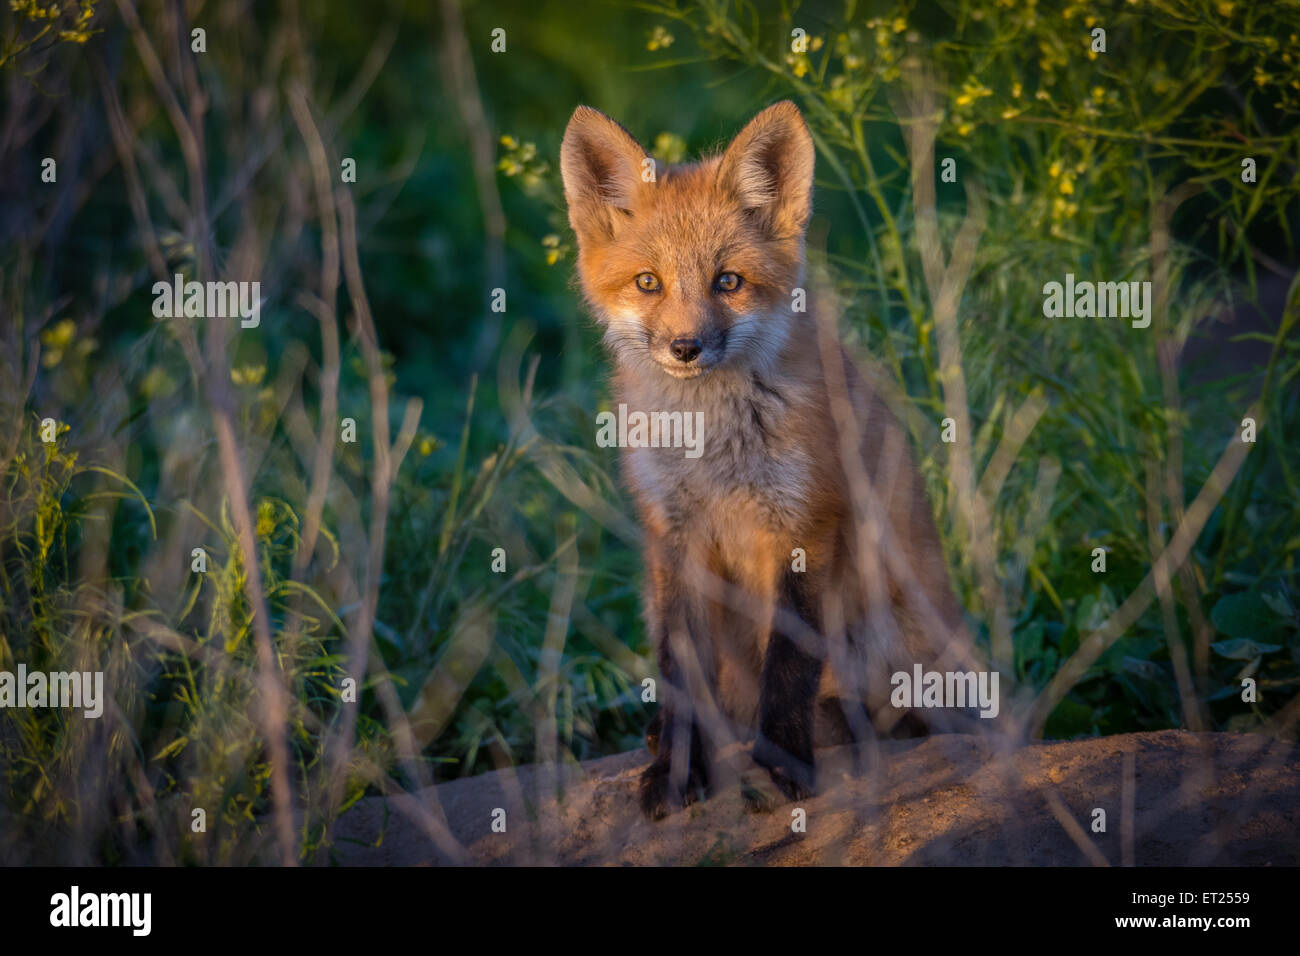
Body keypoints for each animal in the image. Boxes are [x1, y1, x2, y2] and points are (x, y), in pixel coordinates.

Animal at [560, 101, 986, 820]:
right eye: (648, 283)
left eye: (728, 282)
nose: (685, 348)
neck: (709, 447)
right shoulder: (673, 535)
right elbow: (680, 672)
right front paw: (677, 770)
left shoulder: (803, 525)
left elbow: (788, 664)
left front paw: (782, 763)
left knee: (895, 716)